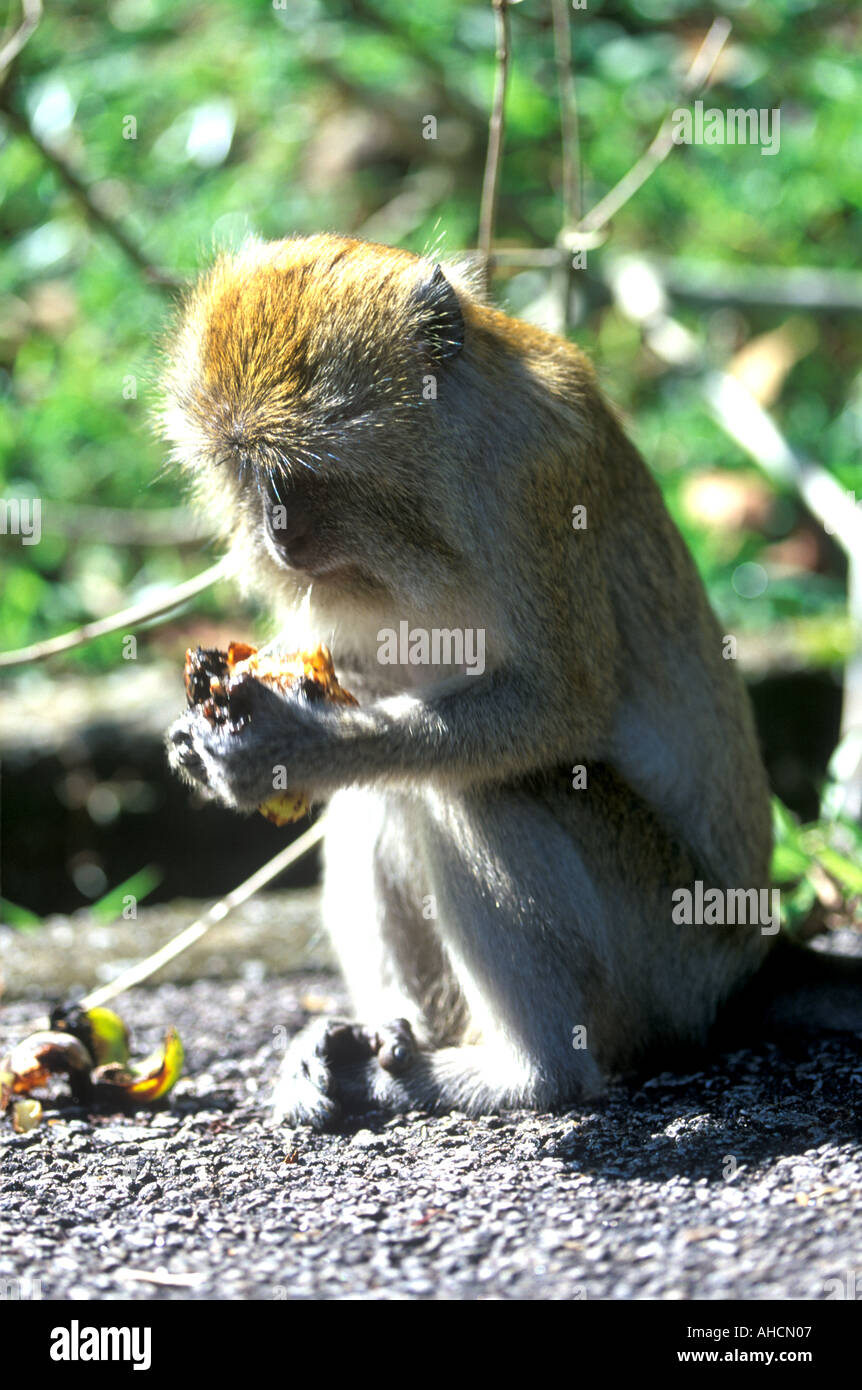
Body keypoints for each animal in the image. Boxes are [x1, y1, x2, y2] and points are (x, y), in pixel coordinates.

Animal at [160, 233, 861, 1129]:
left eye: (305, 468)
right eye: (246, 471)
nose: (280, 537)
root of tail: (753, 959)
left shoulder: (537, 482)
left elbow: (559, 710)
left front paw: (292, 744)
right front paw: (205, 730)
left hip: (669, 951)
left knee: (487, 785)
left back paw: (519, 1076)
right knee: (382, 793)